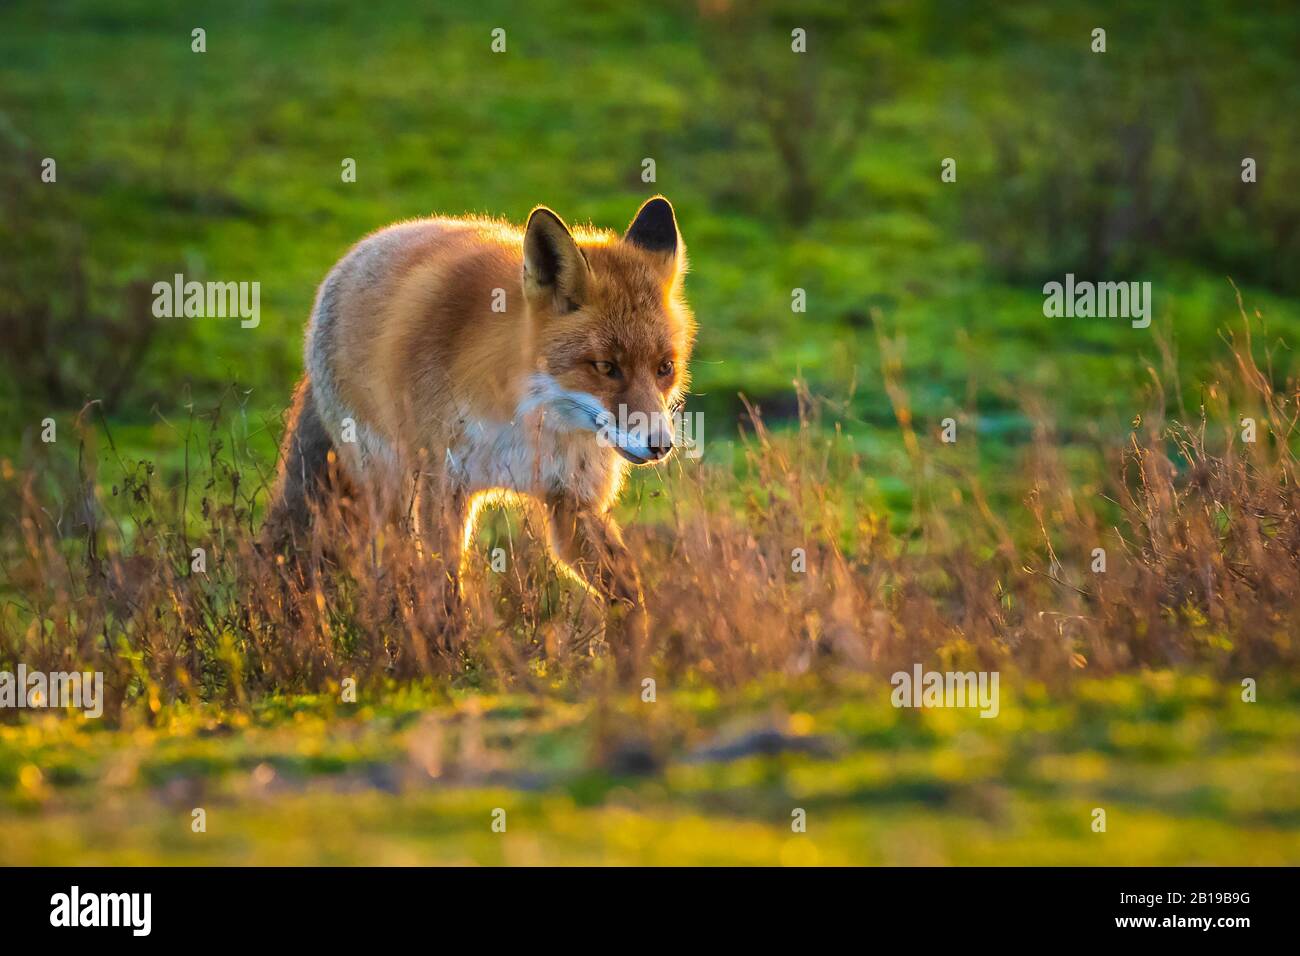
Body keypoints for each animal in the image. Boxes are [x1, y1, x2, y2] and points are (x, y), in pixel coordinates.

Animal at [266, 196, 694, 646]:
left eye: (664, 367)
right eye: (606, 367)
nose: (661, 445)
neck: (528, 419)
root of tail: (360, 249)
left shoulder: (572, 499)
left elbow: (627, 587)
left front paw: (633, 654)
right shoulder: (441, 489)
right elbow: (444, 588)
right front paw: (451, 654)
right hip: (388, 485)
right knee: (387, 565)